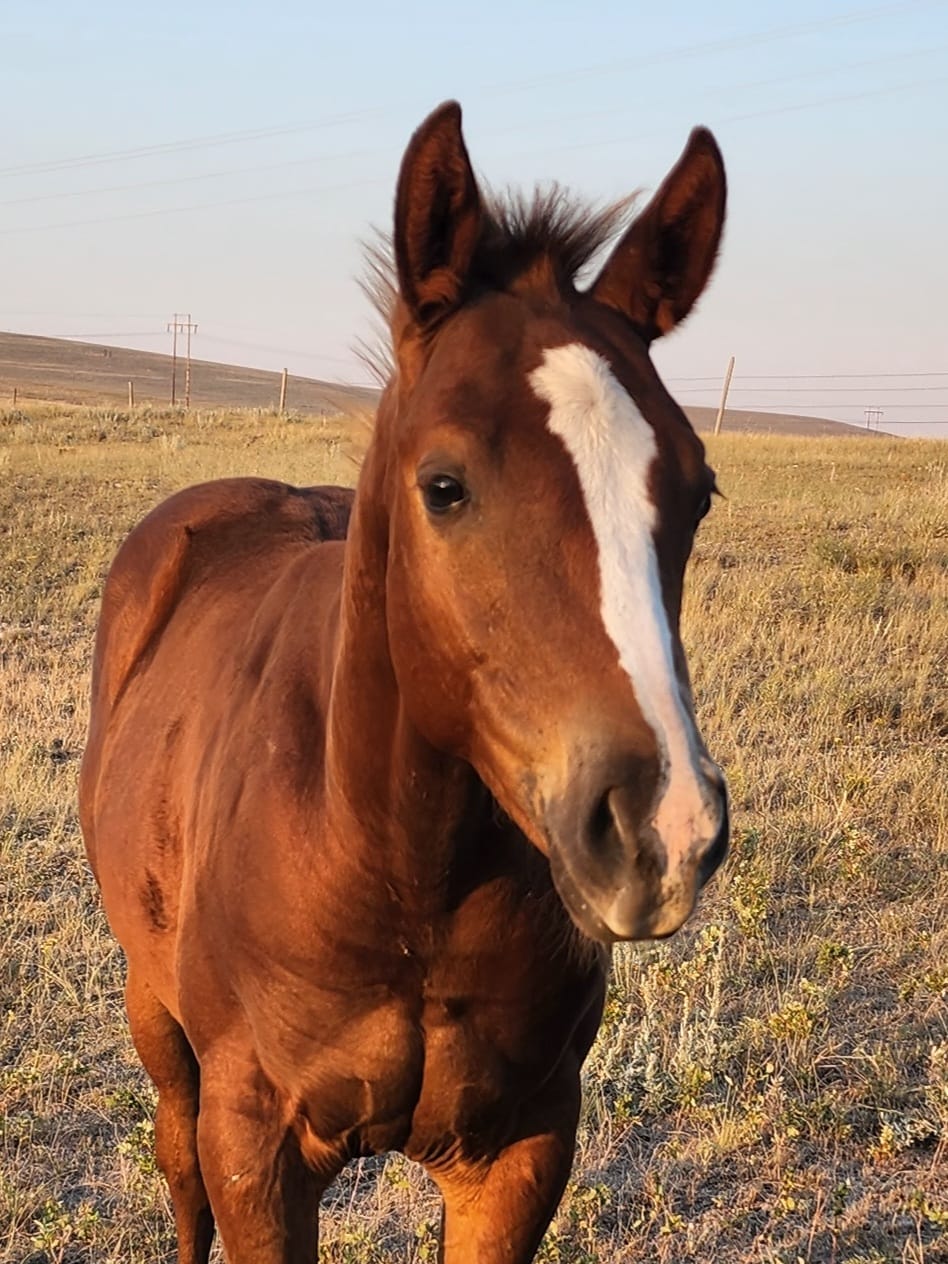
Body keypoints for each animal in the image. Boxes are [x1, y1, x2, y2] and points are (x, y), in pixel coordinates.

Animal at [79, 101, 729, 1264]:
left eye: (697, 492)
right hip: (154, 1012)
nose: (660, 831)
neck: (396, 866)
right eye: (445, 485)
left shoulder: (520, 1153)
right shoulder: (255, 1152)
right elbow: (214, 1171)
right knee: (174, 1162)